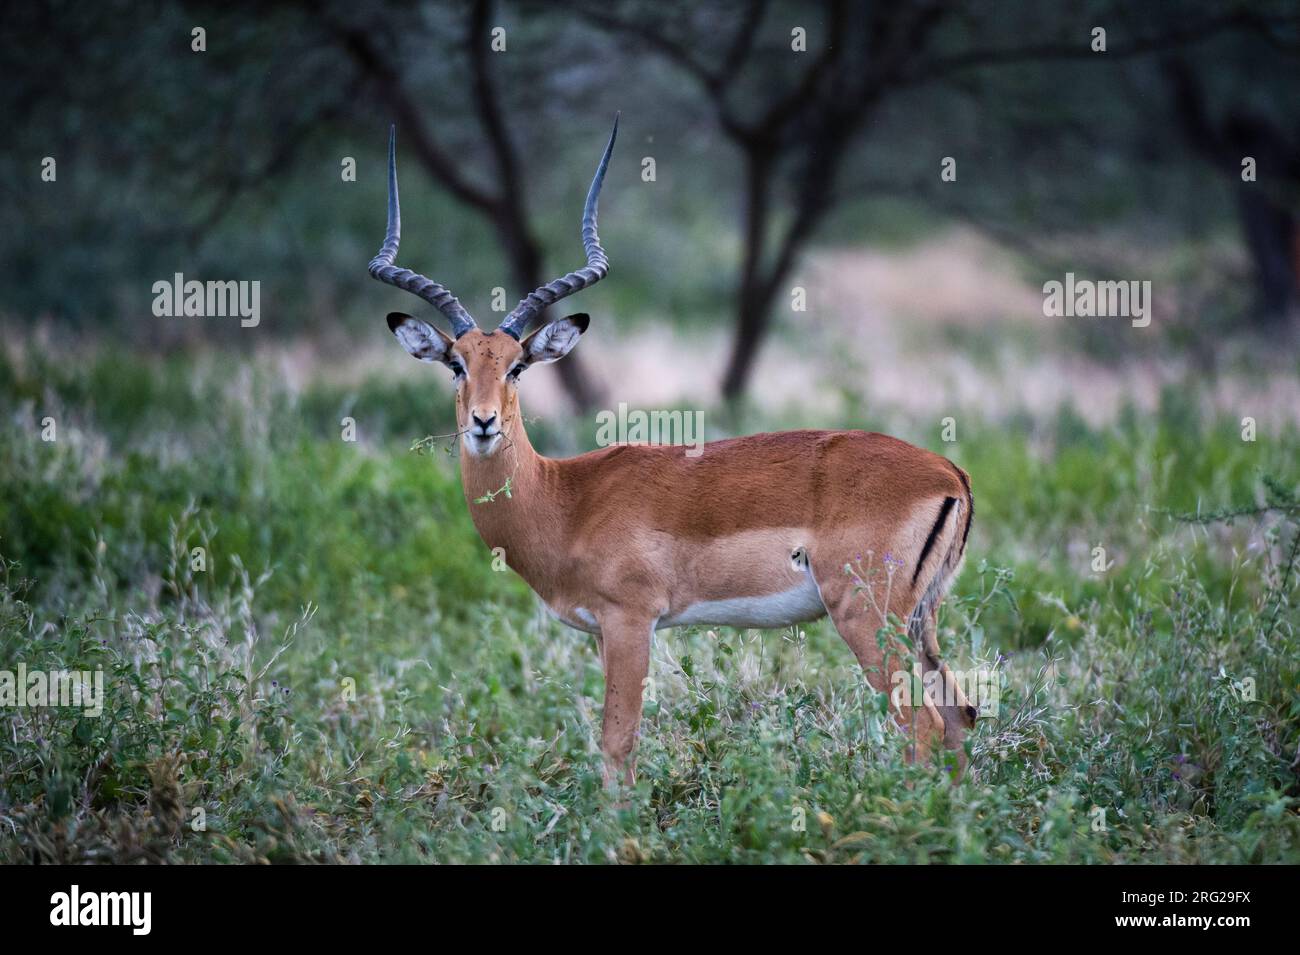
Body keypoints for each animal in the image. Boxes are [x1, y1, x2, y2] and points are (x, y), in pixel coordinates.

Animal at [370, 117, 977, 785]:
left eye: (517, 366)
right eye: (456, 363)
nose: (483, 423)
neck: (564, 500)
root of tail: (949, 472)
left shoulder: (631, 620)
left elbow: (618, 743)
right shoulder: (602, 631)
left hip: (867, 618)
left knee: (922, 727)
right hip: (919, 621)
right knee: (959, 718)